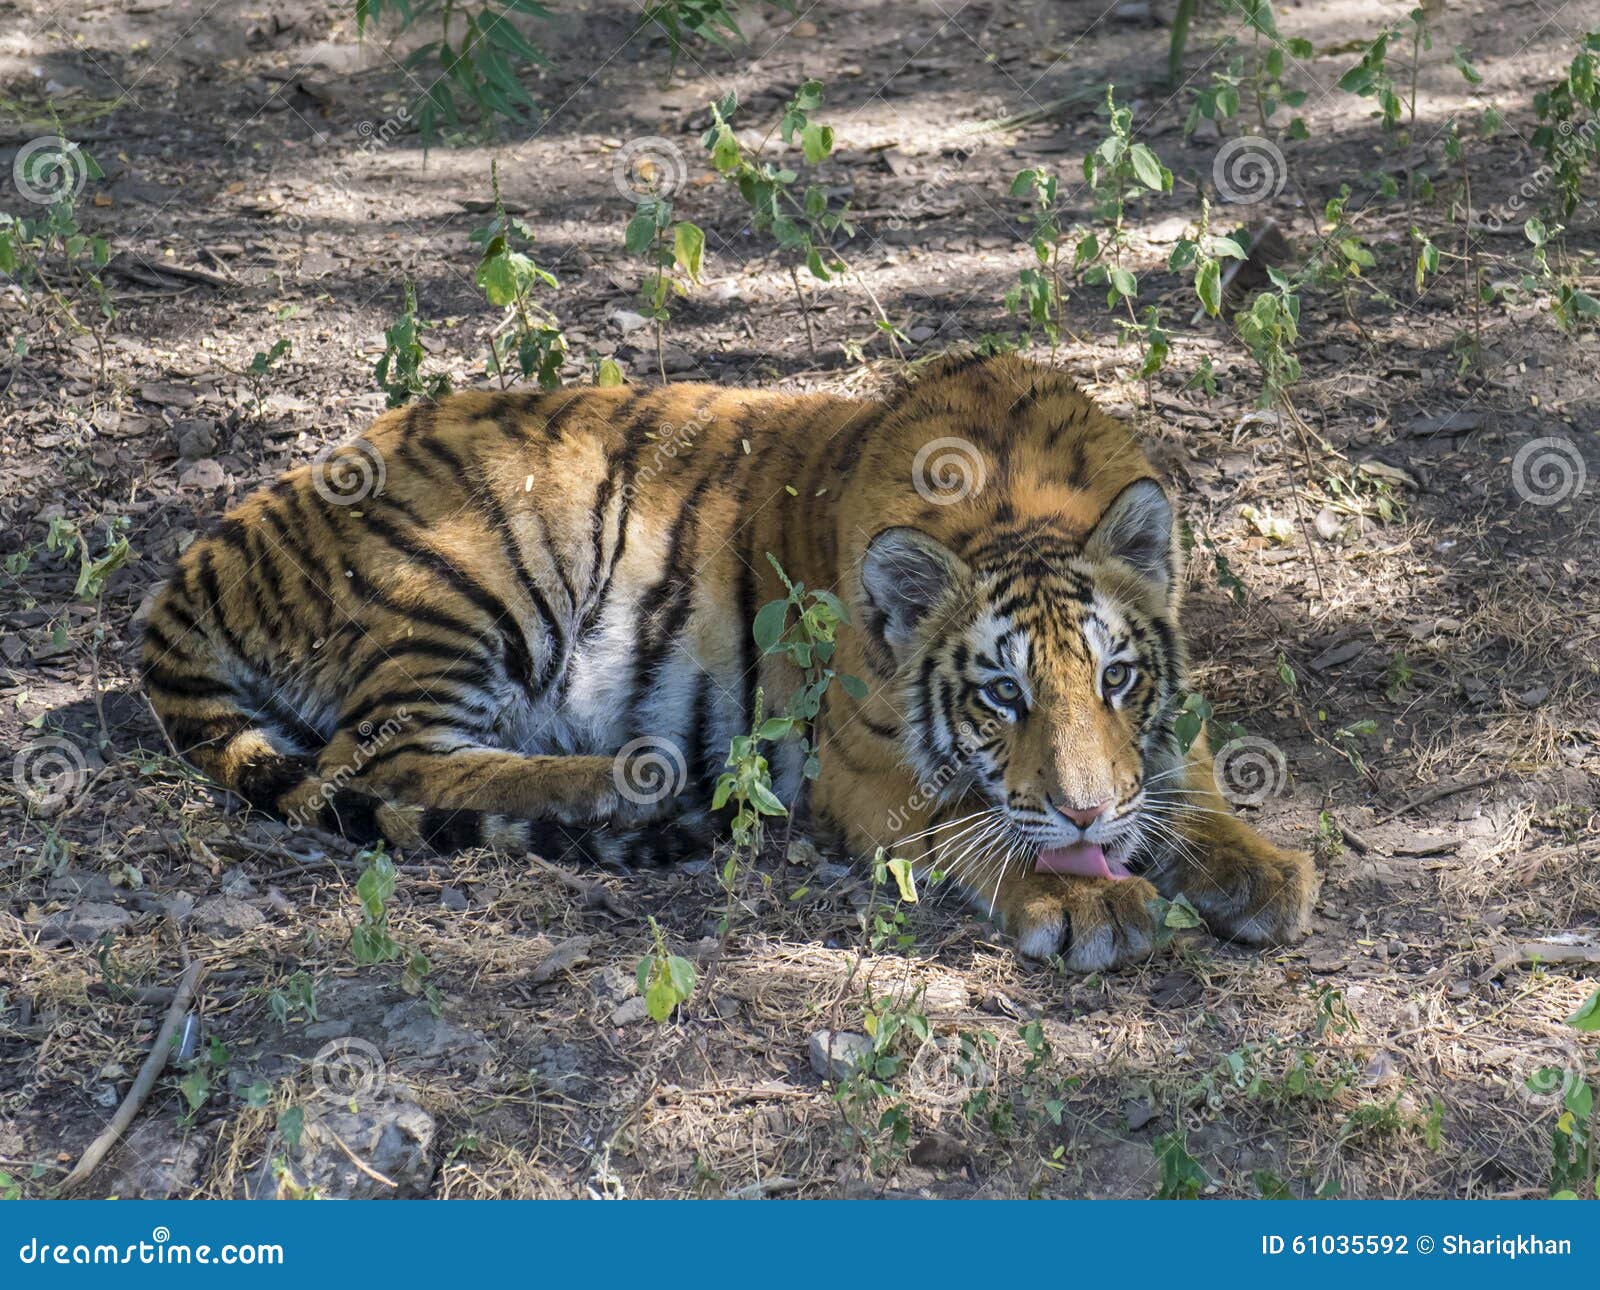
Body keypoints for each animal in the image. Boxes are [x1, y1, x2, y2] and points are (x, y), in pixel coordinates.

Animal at [141, 351, 1314, 971]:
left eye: (1116, 678)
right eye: (1000, 693)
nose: (1086, 818)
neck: (1013, 499)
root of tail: (208, 547)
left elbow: (1188, 782)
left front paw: (1257, 869)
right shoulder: (863, 773)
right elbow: (966, 823)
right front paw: (1084, 902)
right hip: (471, 577)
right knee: (380, 757)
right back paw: (630, 781)